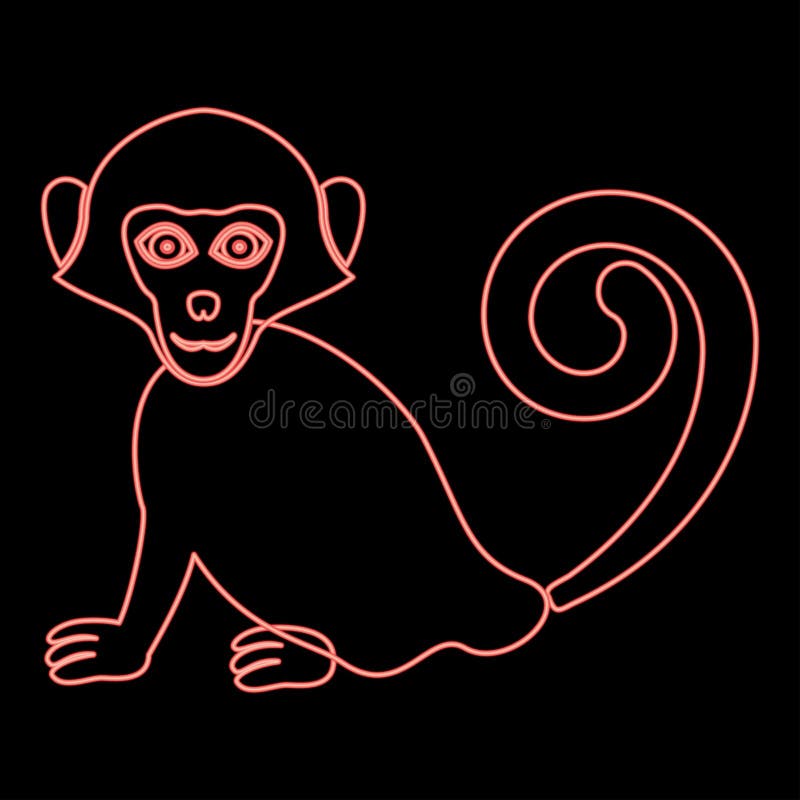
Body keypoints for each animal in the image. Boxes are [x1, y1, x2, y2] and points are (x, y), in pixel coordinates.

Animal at [41, 108, 758, 692]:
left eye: (240, 247)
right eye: (165, 247)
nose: (202, 302)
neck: (225, 385)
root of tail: (497, 592)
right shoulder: (160, 425)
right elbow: (164, 533)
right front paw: (125, 647)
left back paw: (309, 656)